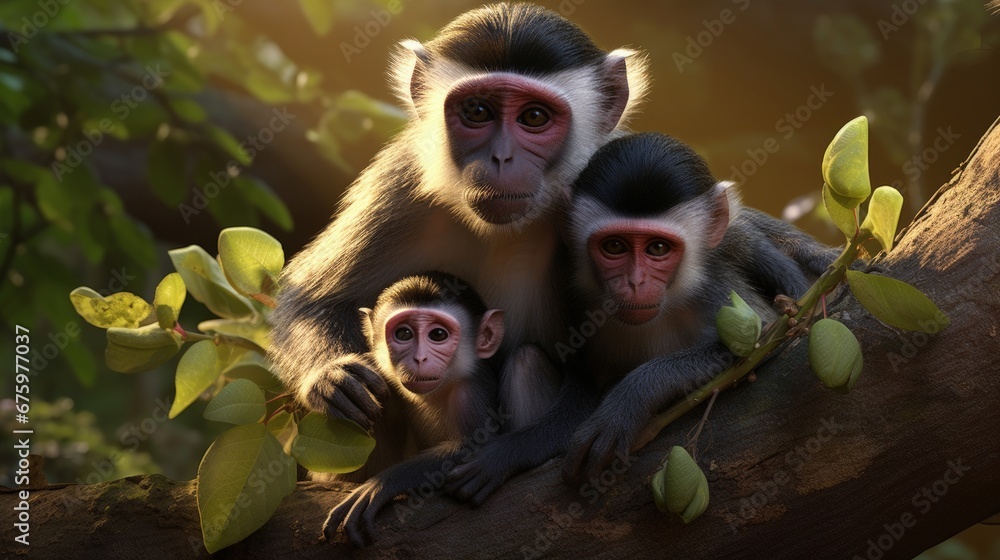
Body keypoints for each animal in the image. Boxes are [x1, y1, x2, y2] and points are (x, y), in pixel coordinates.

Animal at [269, 3, 649, 504]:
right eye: (477, 111)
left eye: (534, 116)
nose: (501, 158)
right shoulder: (402, 182)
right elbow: (312, 300)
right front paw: (332, 377)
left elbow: (595, 378)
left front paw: (501, 455)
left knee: (527, 363)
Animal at [322, 272, 505, 546]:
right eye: (404, 333)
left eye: (438, 334)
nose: (419, 358)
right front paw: (333, 381)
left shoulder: (471, 391)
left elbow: (477, 445)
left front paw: (380, 484)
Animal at [557, 132, 839, 481]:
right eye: (614, 246)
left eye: (658, 248)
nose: (635, 282)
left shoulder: (715, 287)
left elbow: (765, 341)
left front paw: (629, 399)